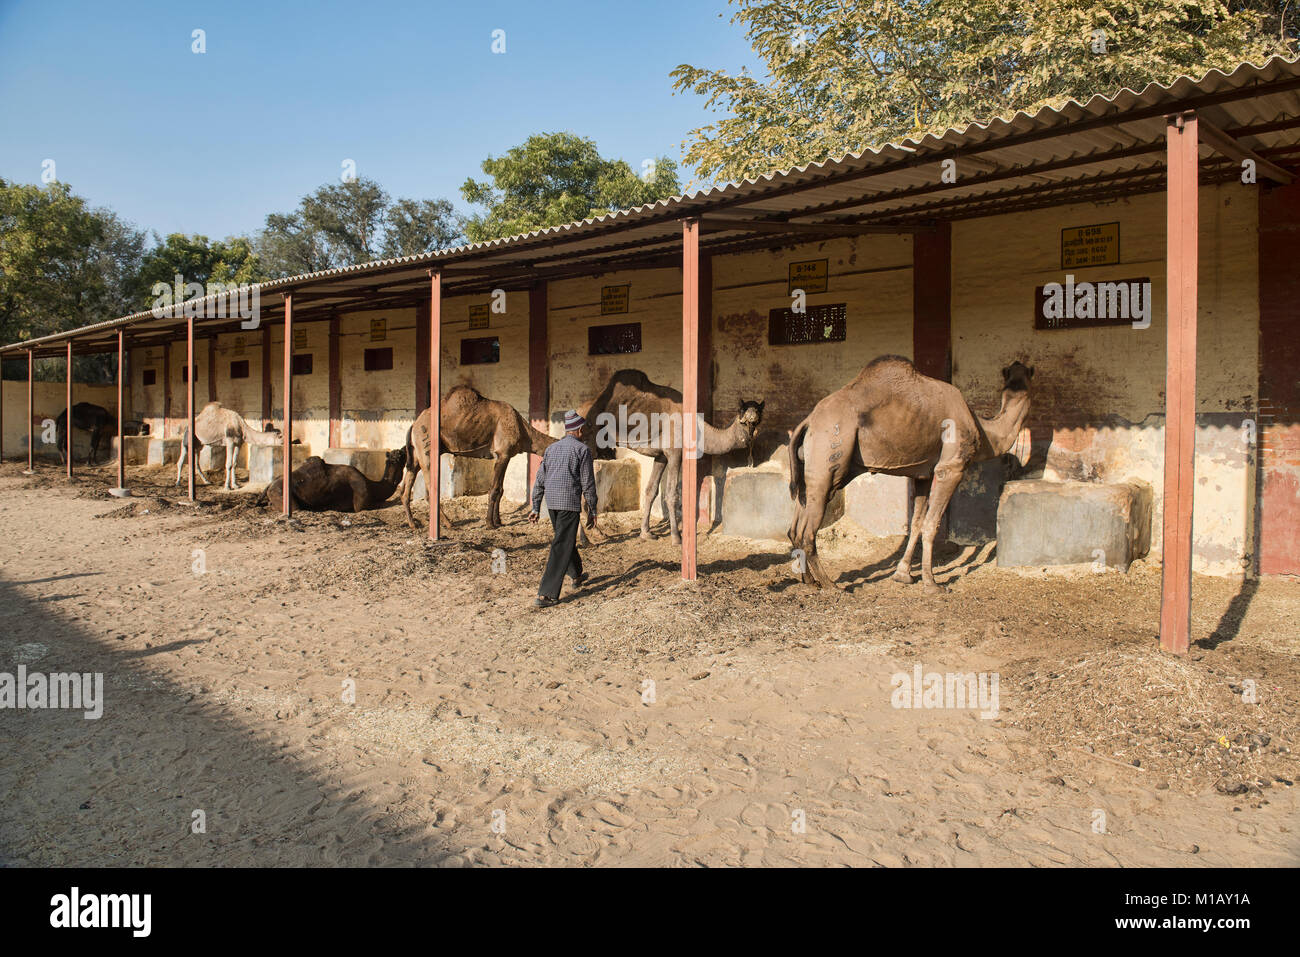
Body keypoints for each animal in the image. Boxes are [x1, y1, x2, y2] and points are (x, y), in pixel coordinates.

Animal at [262, 448, 406, 513]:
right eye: (399, 455)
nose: (403, 448)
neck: (372, 486)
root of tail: (269, 485)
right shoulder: (361, 499)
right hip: (281, 493)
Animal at [400, 385, 557, 531]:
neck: (524, 432)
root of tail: (414, 424)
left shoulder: (504, 456)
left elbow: (500, 490)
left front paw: (499, 522)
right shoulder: (503, 453)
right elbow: (494, 490)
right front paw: (490, 524)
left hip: (416, 455)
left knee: (408, 484)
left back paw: (413, 524)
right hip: (426, 448)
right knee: (429, 489)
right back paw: (449, 524)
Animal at [579, 369, 765, 544]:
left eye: (758, 416)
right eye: (742, 415)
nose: (752, 417)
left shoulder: (661, 456)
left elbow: (651, 490)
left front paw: (646, 533)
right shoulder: (675, 452)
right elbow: (672, 495)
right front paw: (676, 537)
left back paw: (597, 533)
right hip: (587, 443)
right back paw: (586, 539)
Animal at [788, 355, 1033, 593]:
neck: (985, 432)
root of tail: (809, 422)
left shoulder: (923, 474)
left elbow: (916, 523)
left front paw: (903, 575)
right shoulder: (951, 468)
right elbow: (931, 524)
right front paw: (932, 584)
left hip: (808, 470)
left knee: (795, 527)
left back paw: (809, 580)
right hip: (828, 458)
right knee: (807, 531)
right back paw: (831, 585)